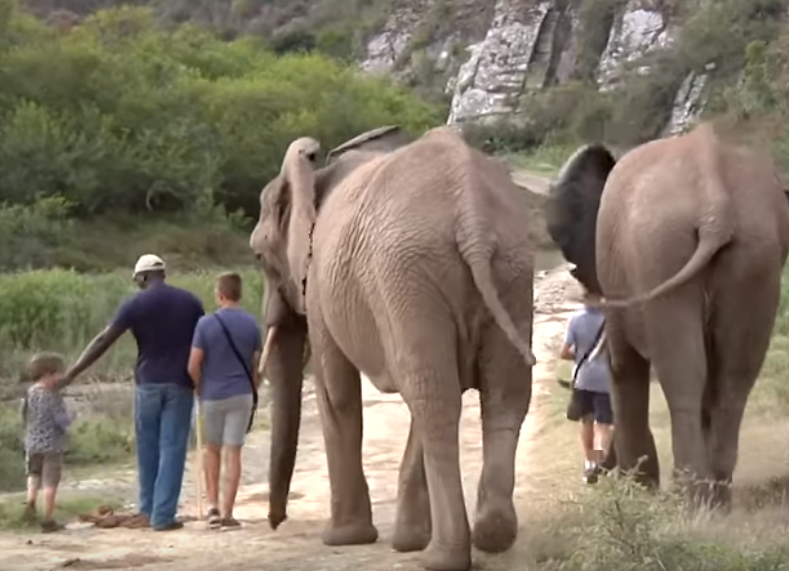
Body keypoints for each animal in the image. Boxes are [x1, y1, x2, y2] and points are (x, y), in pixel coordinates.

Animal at [249, 125, 536, 571]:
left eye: (259, 257)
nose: (275, 521)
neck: (314, 178)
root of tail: (470, 211)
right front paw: (405, 542)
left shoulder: (320, 287)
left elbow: (337, 393)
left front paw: (344, 539)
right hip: (508, 270)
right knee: (494, 394)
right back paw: (492, 535)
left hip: (407, 273)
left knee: (433, 398)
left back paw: (441, 557)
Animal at [546, 122, 789, 506]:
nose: (596, 474)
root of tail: (715, 206)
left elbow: (622, 366)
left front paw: (637, 491)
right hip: (755, 252)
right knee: (734, 376)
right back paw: (715, 501)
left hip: (660, 251)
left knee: (684, 374)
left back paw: (688, 499)